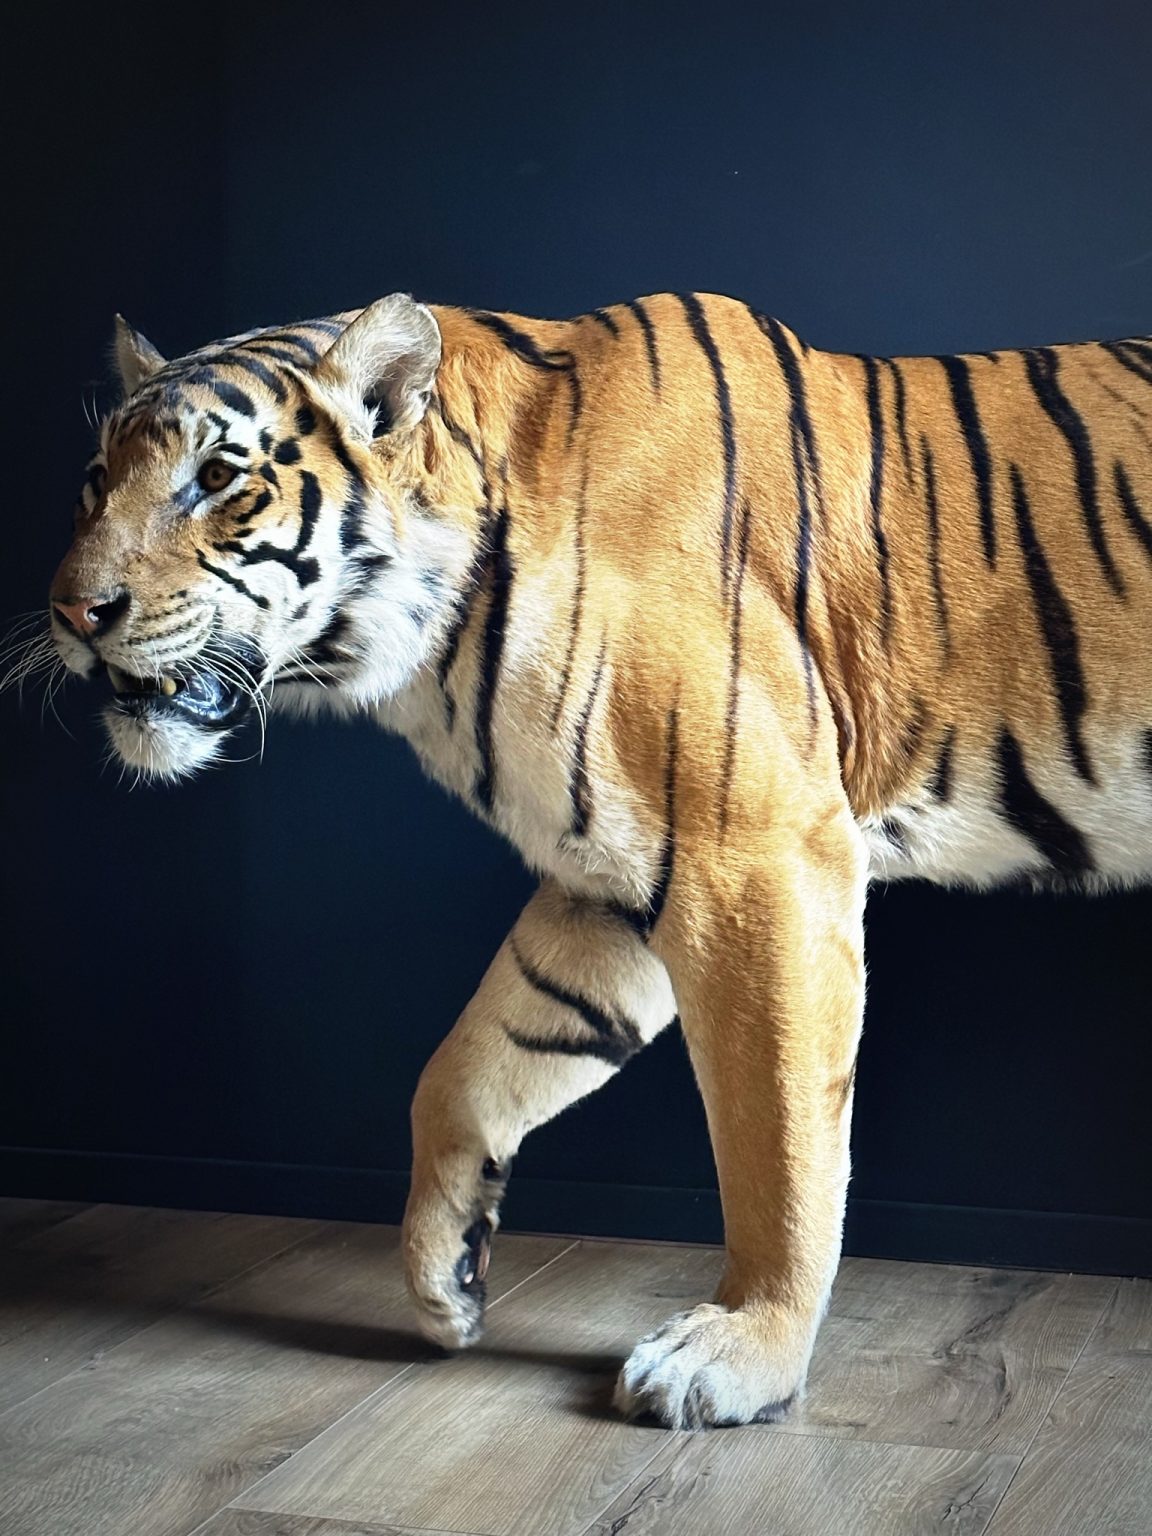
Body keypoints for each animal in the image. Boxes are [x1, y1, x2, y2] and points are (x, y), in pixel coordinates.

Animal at [42, 290, 1152, 1429]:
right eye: (95, 481)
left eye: (218, 479)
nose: (72, 612)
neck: (437, 650)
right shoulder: (612, 875)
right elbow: (468, 1068)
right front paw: (446, 1285)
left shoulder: (757, 853)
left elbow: (780, 1138)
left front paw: (743, 1352)